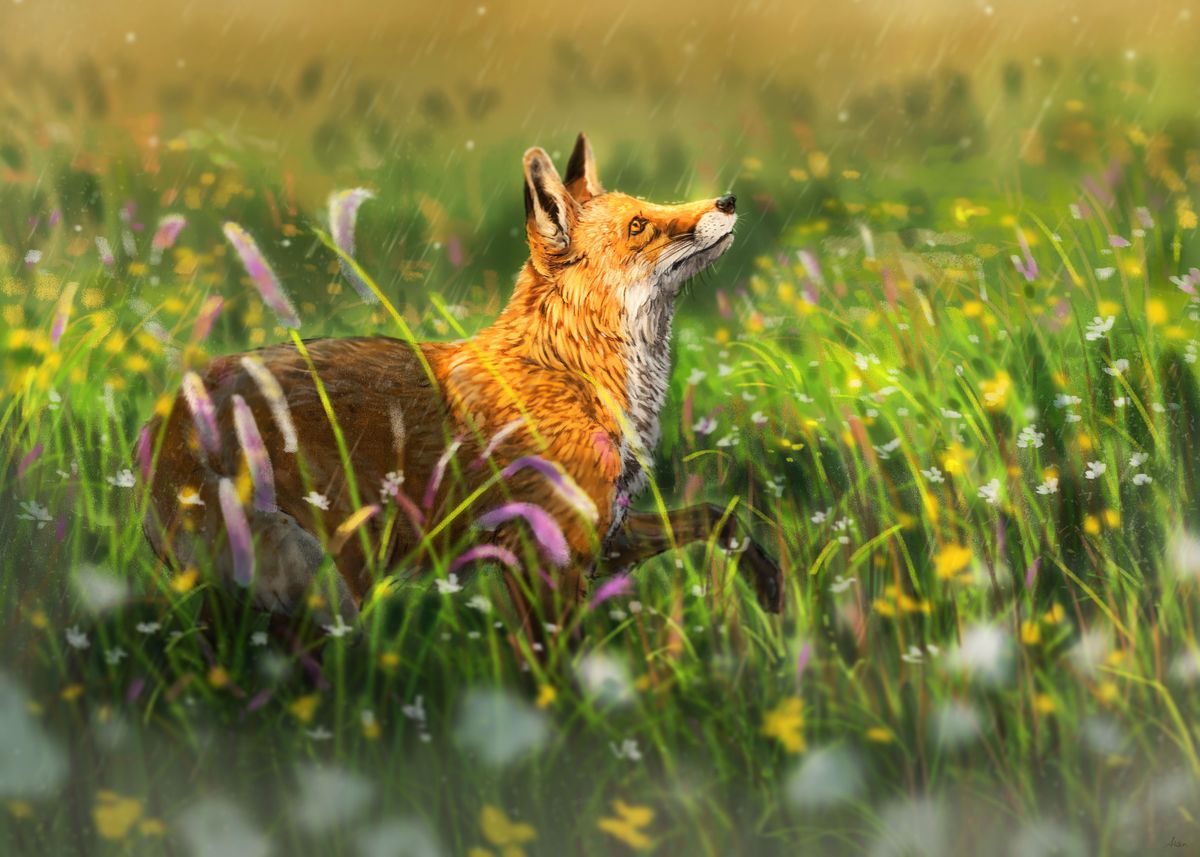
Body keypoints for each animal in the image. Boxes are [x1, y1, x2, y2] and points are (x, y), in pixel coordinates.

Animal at [139, 133, 785, 643]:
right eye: (640, 226)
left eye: (651, 206)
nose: (727, 201)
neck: (571, 370)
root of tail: (169, 415)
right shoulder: (548, 549)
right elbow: (555, 667)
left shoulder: (603, 532)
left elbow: (718, 516)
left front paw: (768, 583)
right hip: (340, 570)